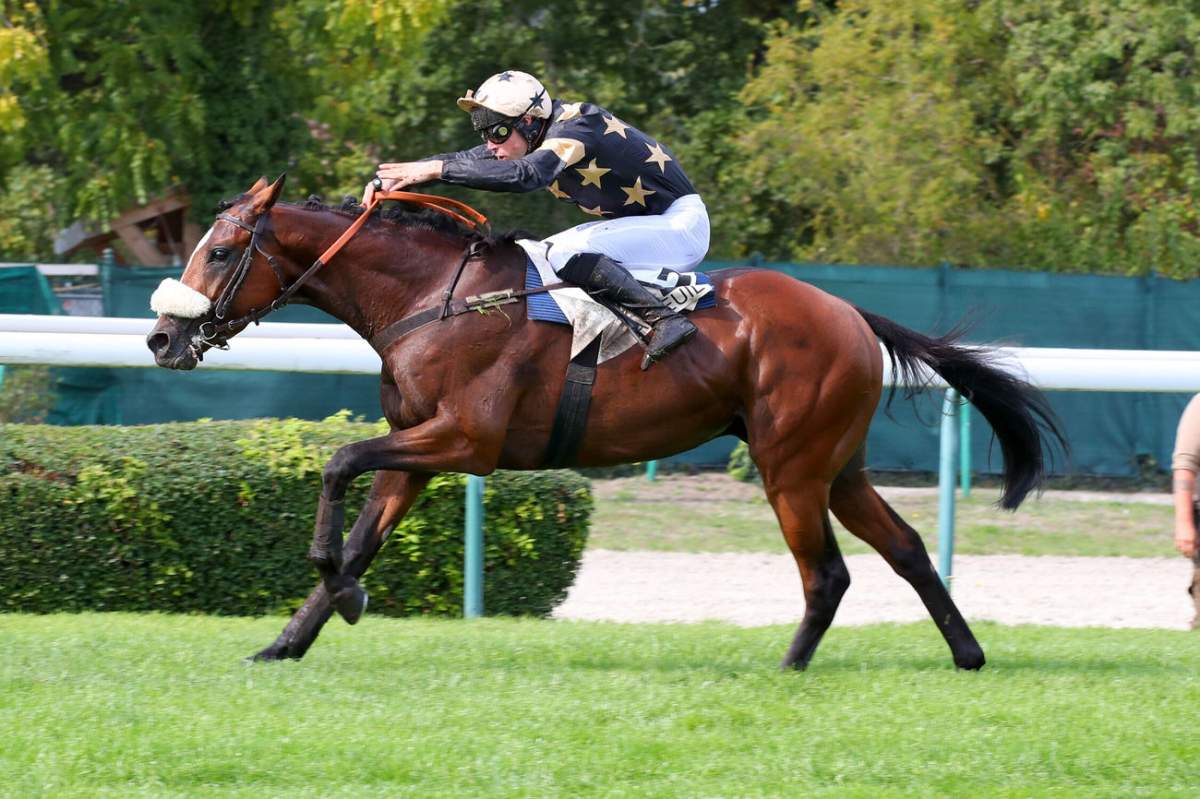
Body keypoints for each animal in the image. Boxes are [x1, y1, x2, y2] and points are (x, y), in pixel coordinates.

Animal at [147, 175, 1065, 670]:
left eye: (221, 251)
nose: (161, 337)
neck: (433, 295)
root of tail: (850, 313)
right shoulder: (420, 451)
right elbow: (363, 531)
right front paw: (298, 632)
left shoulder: (465, 440)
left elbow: (338, 459)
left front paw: (341, 594)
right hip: (837, 465)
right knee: (905, 547)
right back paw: (968, 653)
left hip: (791, 466)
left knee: (828, 574)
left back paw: (790, 664)